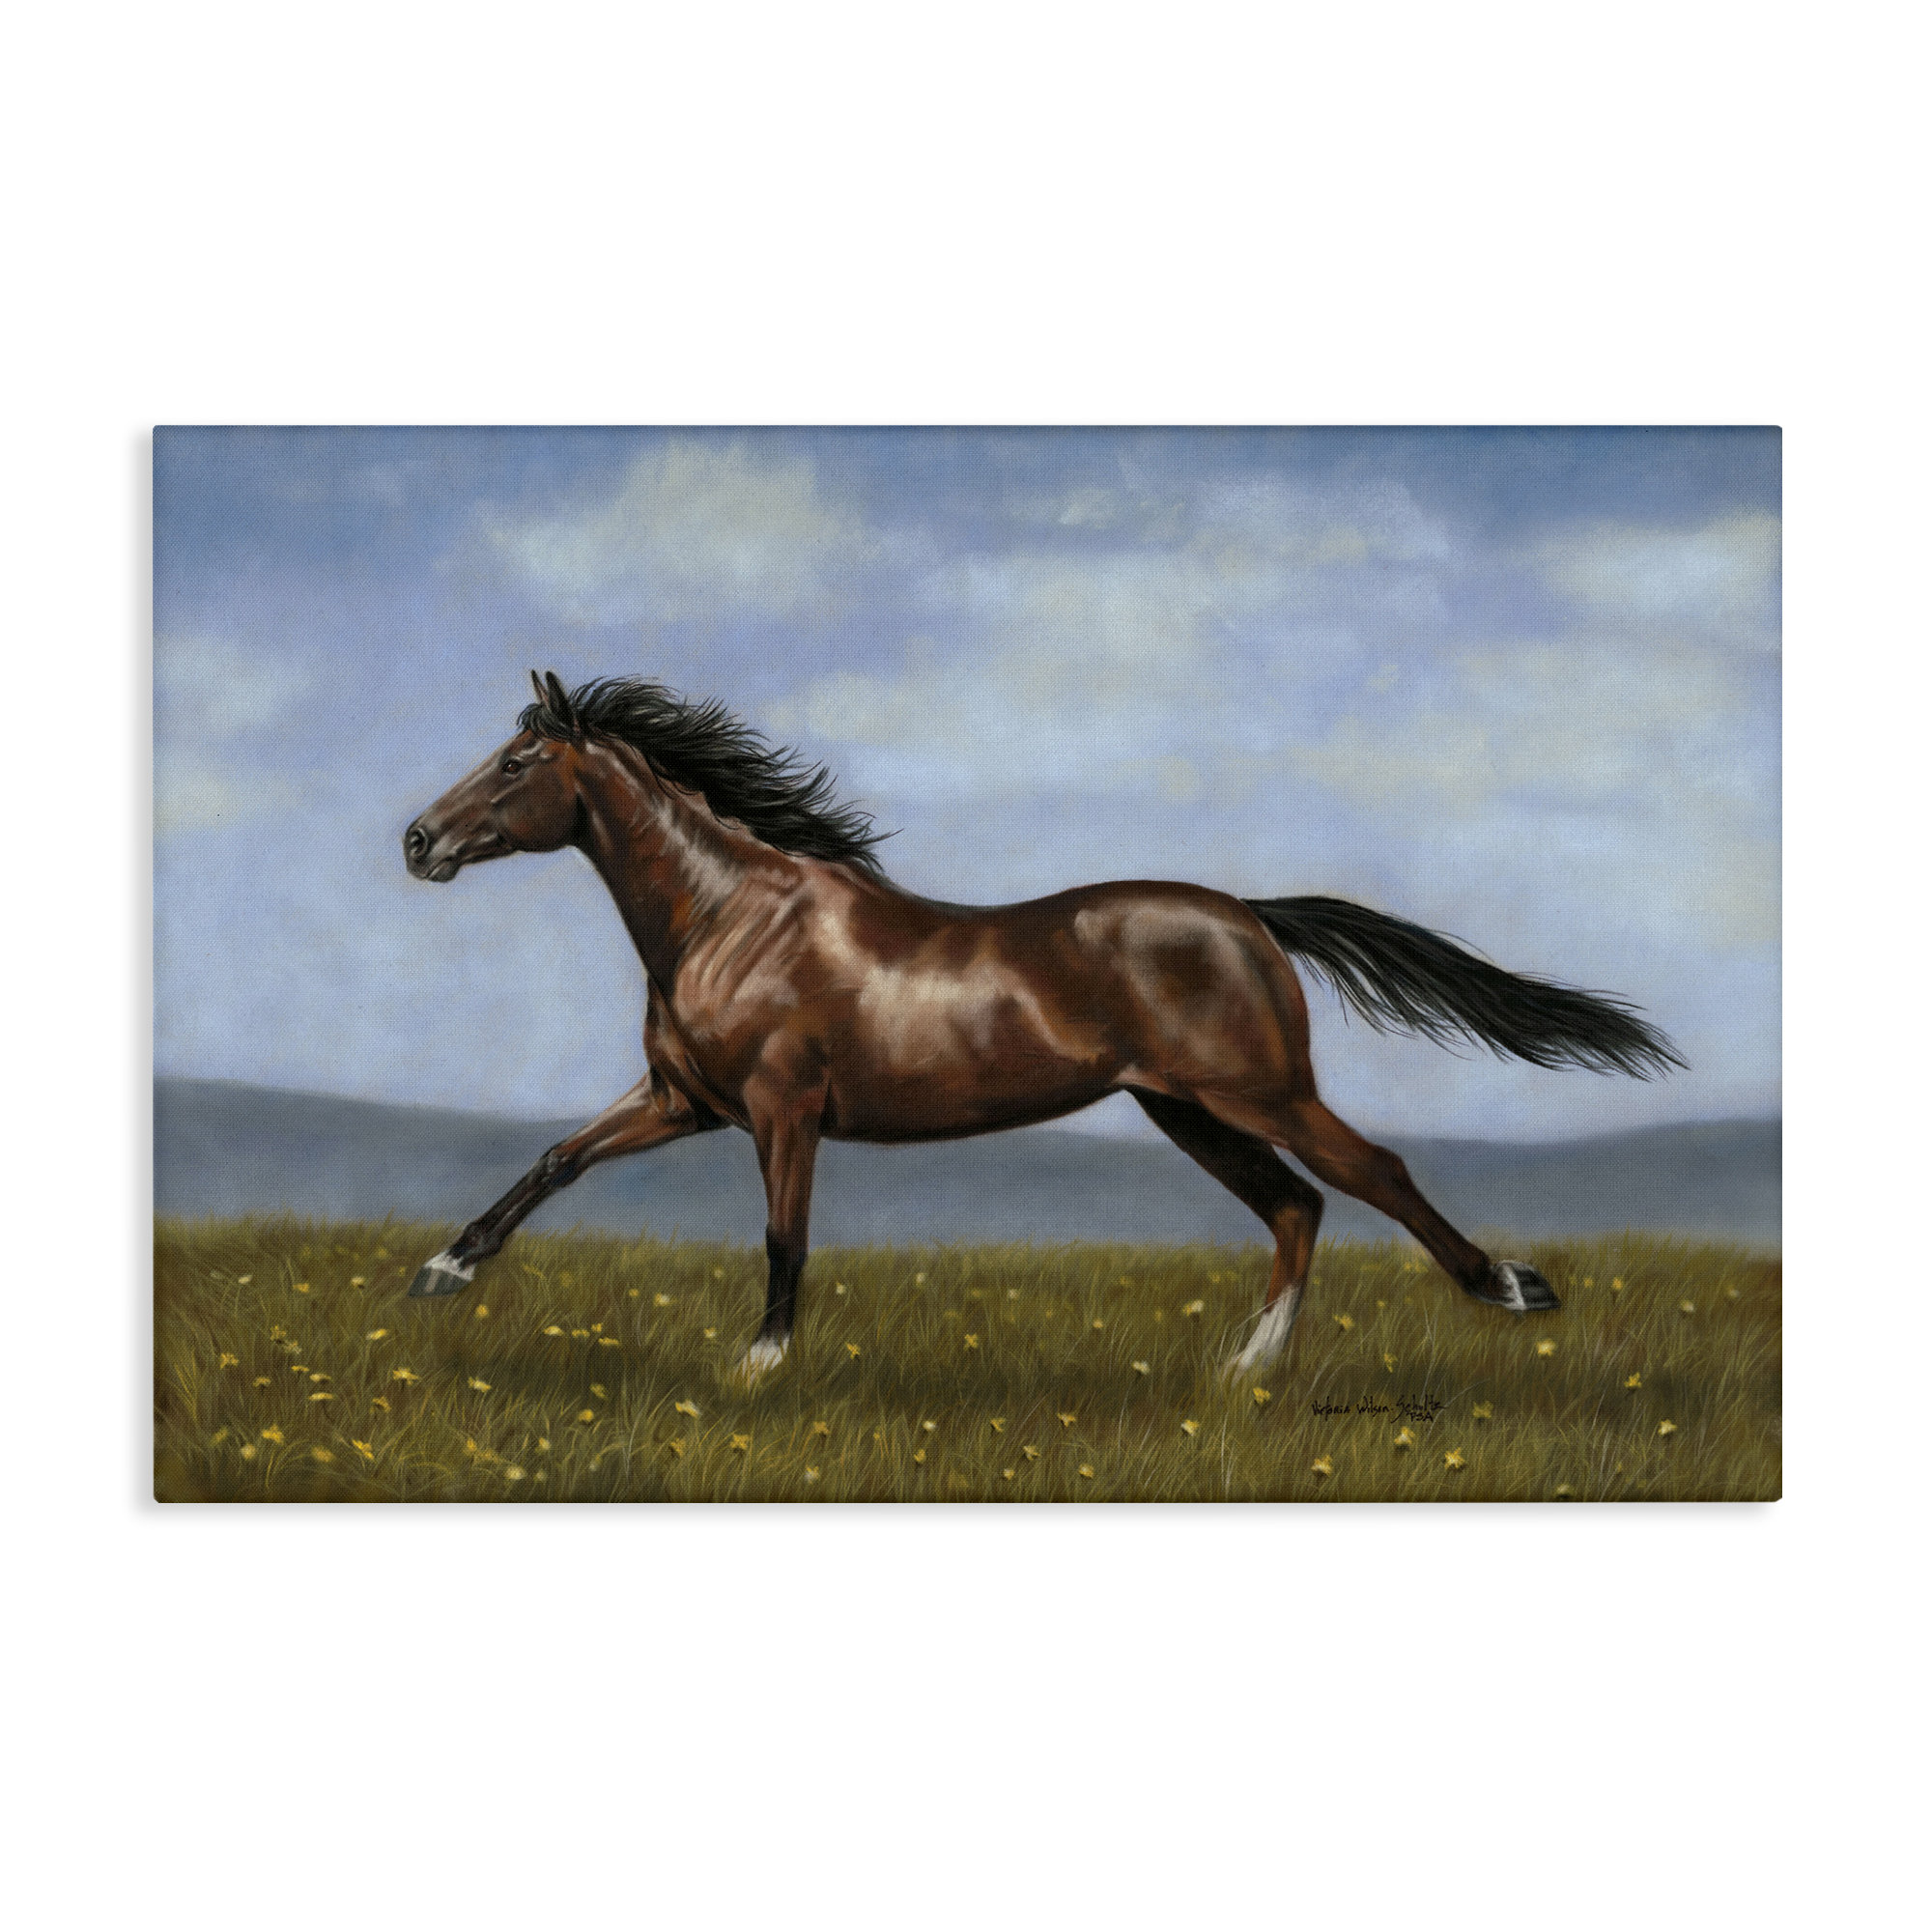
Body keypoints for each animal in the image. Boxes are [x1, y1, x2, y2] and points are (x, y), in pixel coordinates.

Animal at [402, 671, 1682, 1378]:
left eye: (514, 760)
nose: (416, 840)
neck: (730, 919)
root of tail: (1250, 914)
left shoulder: (780, 1111)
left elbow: (782, 1238)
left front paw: (759, 1363)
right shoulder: (684, 1101)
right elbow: (554, 1161)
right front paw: (440, 1270)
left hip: (1256, 1091)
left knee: (1370, 1173)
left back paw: (1509, 1287)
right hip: (1184, 1110)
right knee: (1295, 1206)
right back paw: (1242, 1369)